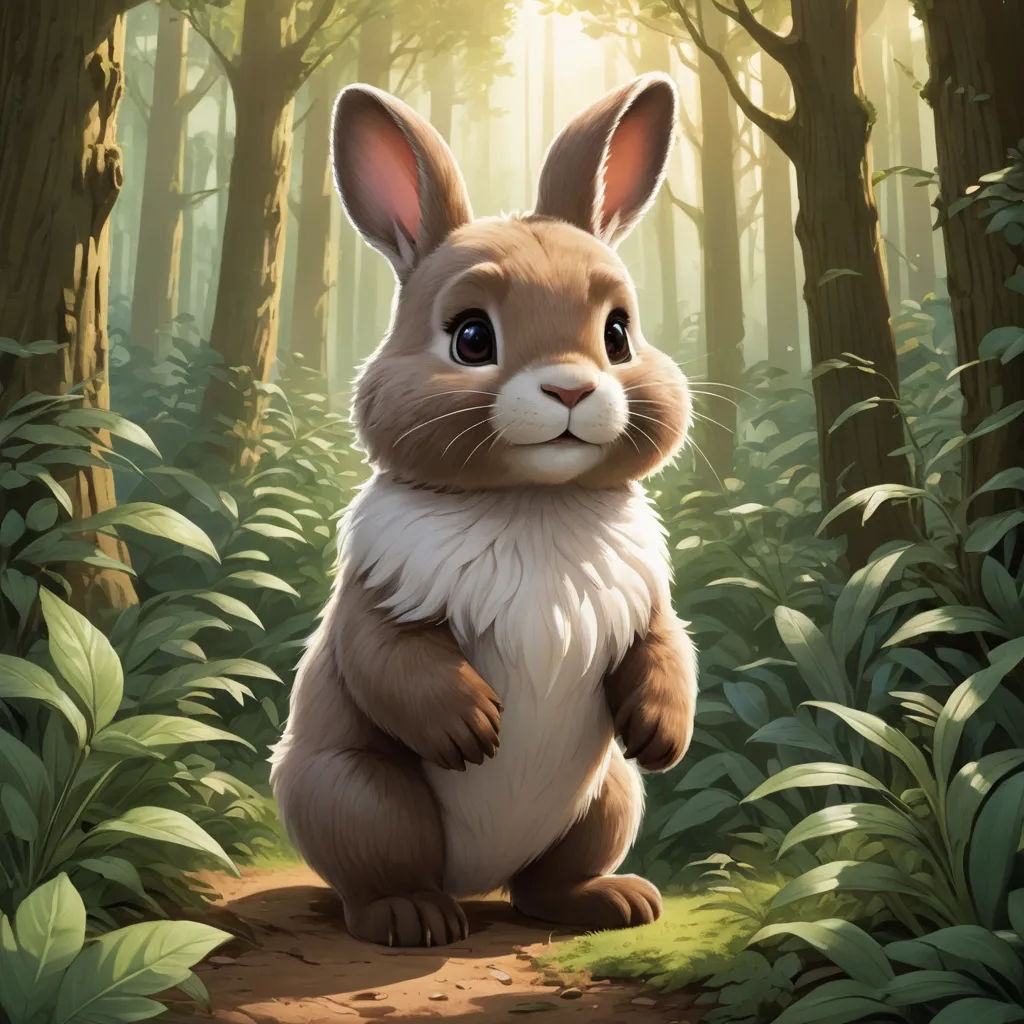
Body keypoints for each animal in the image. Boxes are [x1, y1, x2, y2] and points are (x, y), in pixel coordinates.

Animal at [269, 72, 697, 948]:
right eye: (471, 338)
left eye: (618, 334)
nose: (570, 389)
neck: (531, 505)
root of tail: (476, 881)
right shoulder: (380, 594)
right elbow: (389, 660)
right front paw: (474, 732)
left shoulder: (643, 599)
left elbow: (668, 649)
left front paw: (662, 734)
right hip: (358, 794)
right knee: (380, 869)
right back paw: (412, 918)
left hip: (605, 800)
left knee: (544, 887)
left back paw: (614, 902)